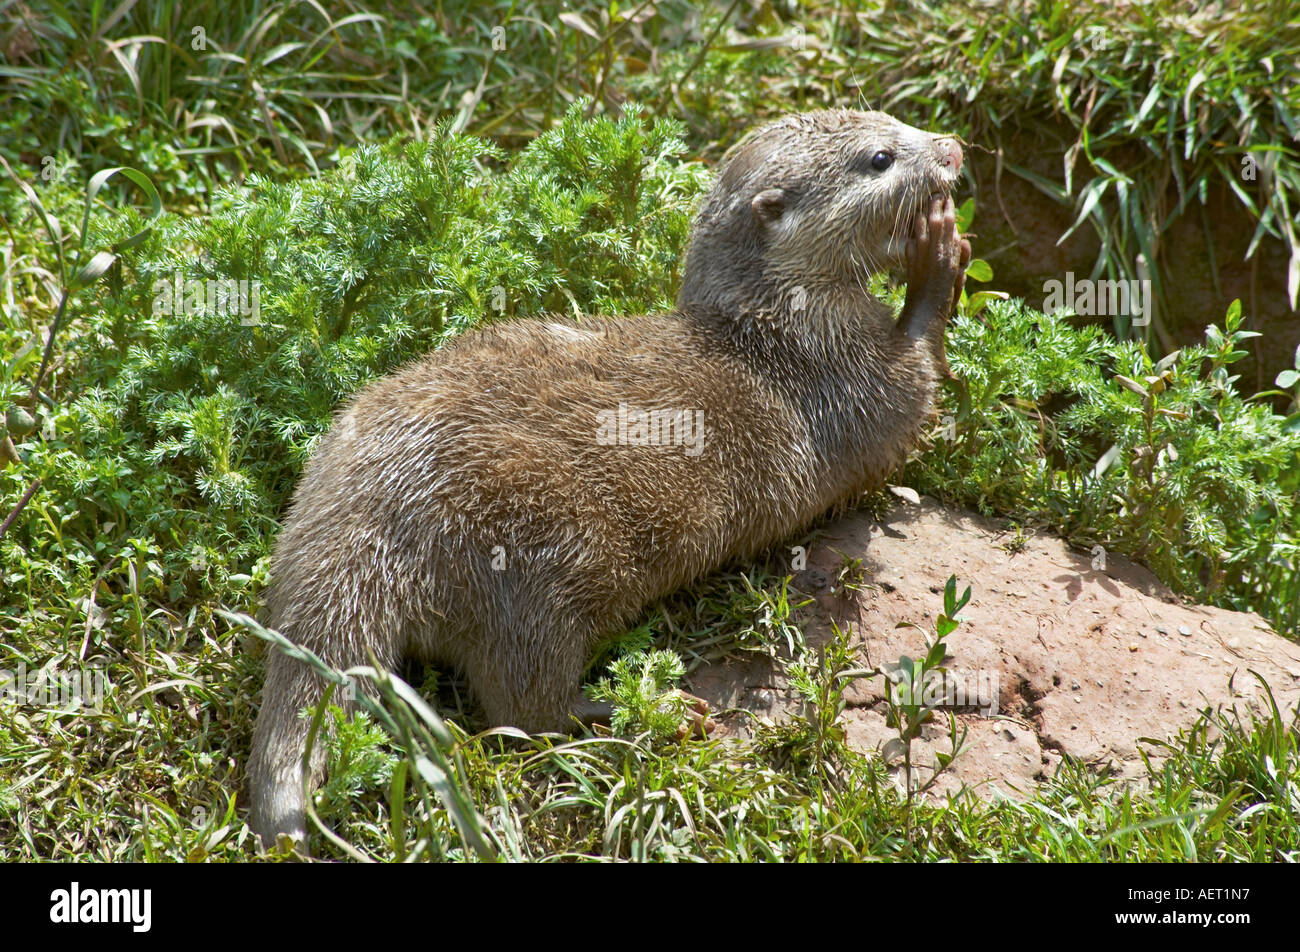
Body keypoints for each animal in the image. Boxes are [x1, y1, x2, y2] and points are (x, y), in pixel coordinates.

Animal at [248, 109, 971, 847]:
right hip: (545, 552)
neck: (782, 337)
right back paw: (647, 710)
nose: (952, 148)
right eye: (880, 158)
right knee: (521, 707)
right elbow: (914, 390)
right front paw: (940, 250)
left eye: (893, 119)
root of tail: (365, 500)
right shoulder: (852, 387)